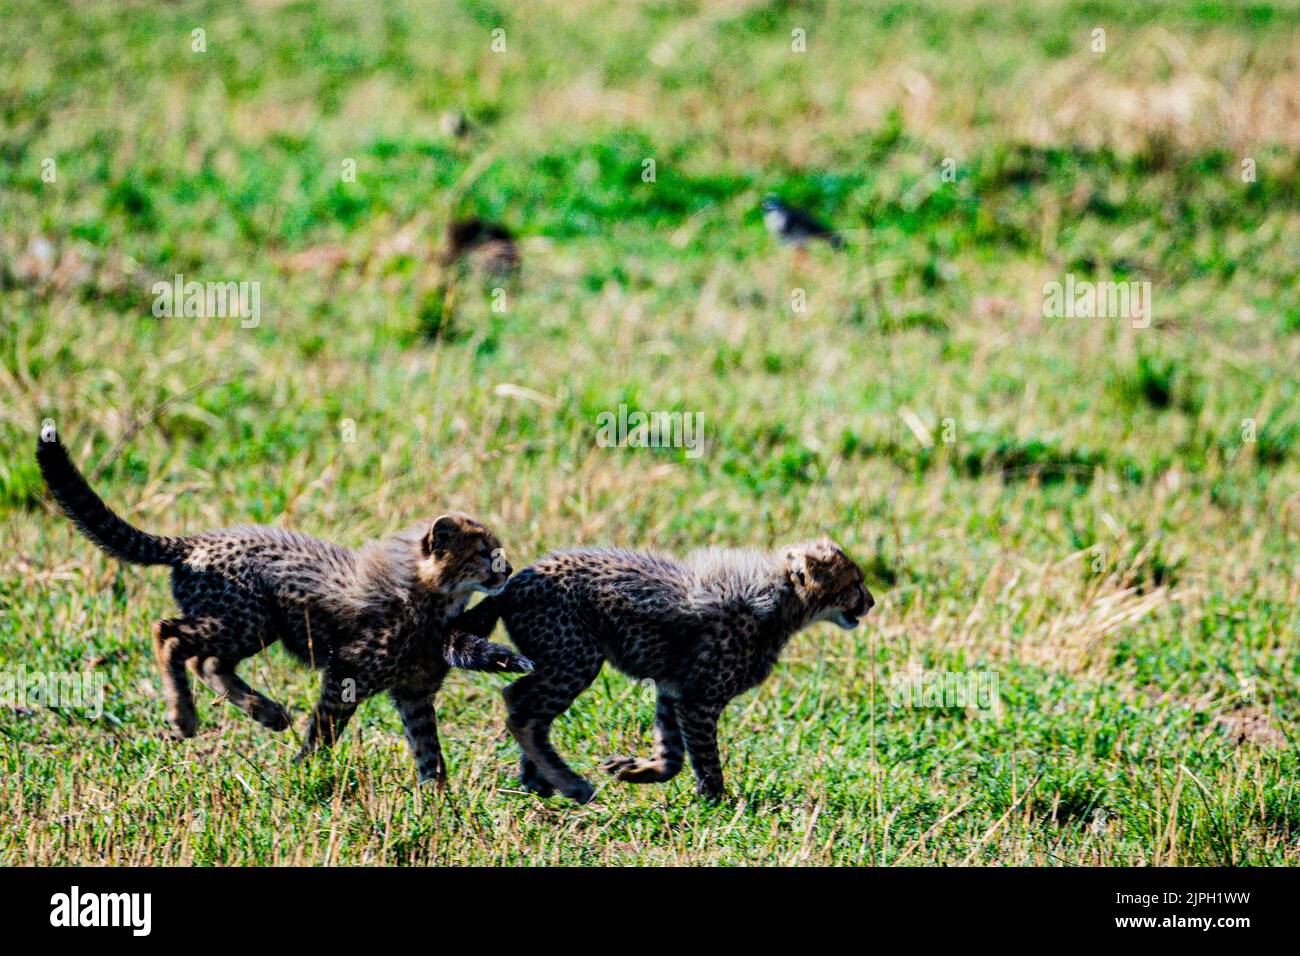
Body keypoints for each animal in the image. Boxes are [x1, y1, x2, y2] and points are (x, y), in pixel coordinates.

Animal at [35, 425, 529, 788]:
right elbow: (325, 732)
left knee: (207, 661)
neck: (430, 594)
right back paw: (186, 716)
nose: (508, 569)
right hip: (248, 619)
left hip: (254, 625)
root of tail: (196, 541)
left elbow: (430, 754)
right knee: (169, 634)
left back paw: (267, 713)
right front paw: (304, 773)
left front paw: (439, 806)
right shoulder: (347, 672)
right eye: (484, 552)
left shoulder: (413, 693)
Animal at [452, 538, 873, 803]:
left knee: (525, 705)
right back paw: (571, 785)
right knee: (521, 708)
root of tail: (515, 581)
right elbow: (705, 758)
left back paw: (537, 779)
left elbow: (672, 756)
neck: (780, 600)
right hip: (578, 657)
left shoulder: (676, 692)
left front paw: (636, 770)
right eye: (855, 582)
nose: (870, 602)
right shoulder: (699, 699)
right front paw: (716, 803)